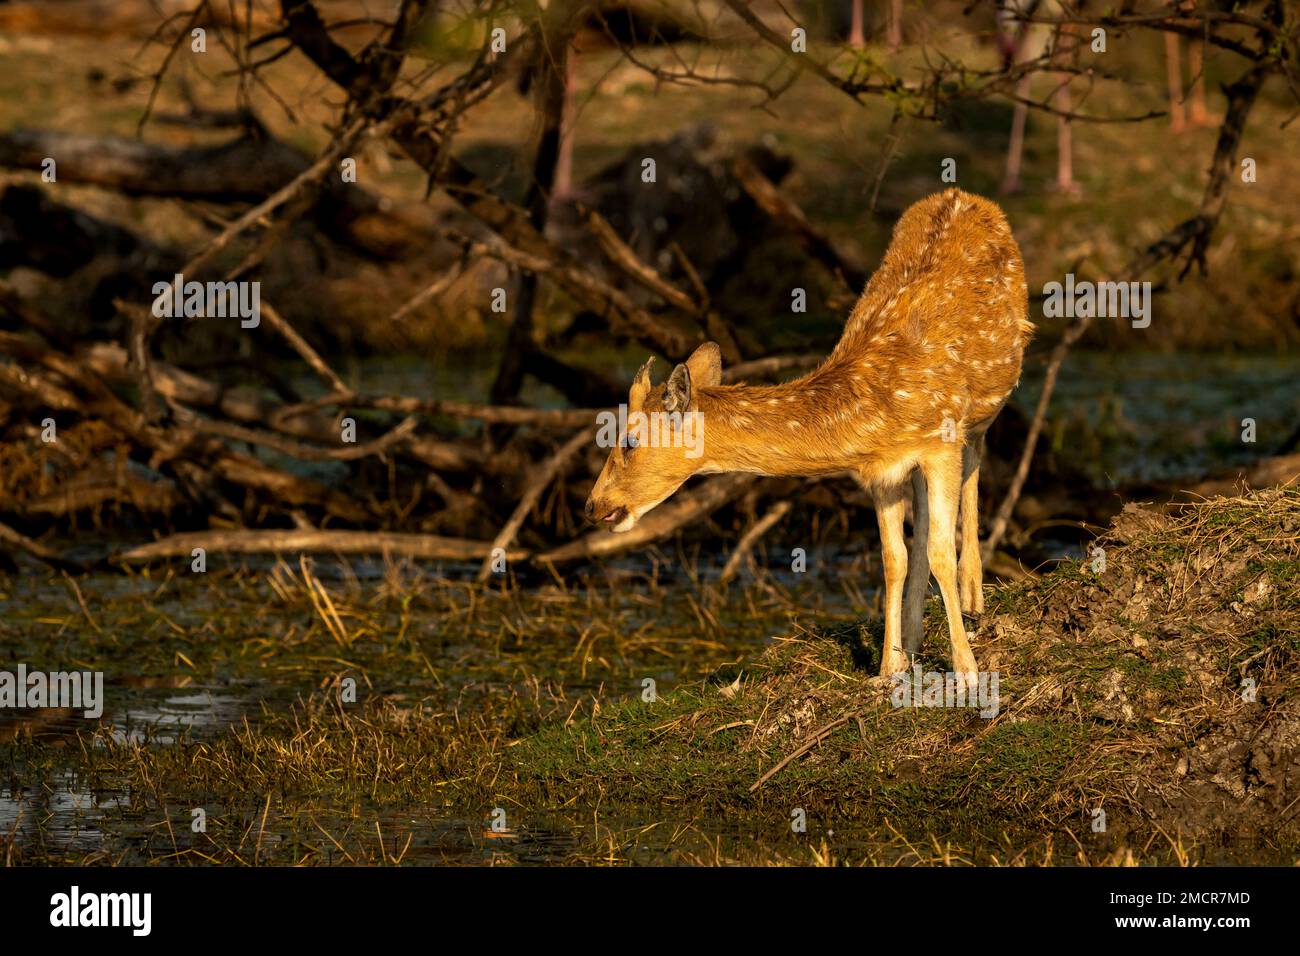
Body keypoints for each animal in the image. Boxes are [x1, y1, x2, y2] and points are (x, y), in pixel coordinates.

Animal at [584, 189, 1033, 688]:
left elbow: (939, 550)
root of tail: (966, 195)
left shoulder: (941, 440)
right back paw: (916, 640)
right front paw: (889, 668)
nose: (593, 506)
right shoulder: (882, 471)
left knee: (976, 463)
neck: (878, 408)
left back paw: (974, 597)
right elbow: (893, 557)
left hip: (989, 401)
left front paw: (967, 671)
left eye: (628, 441)